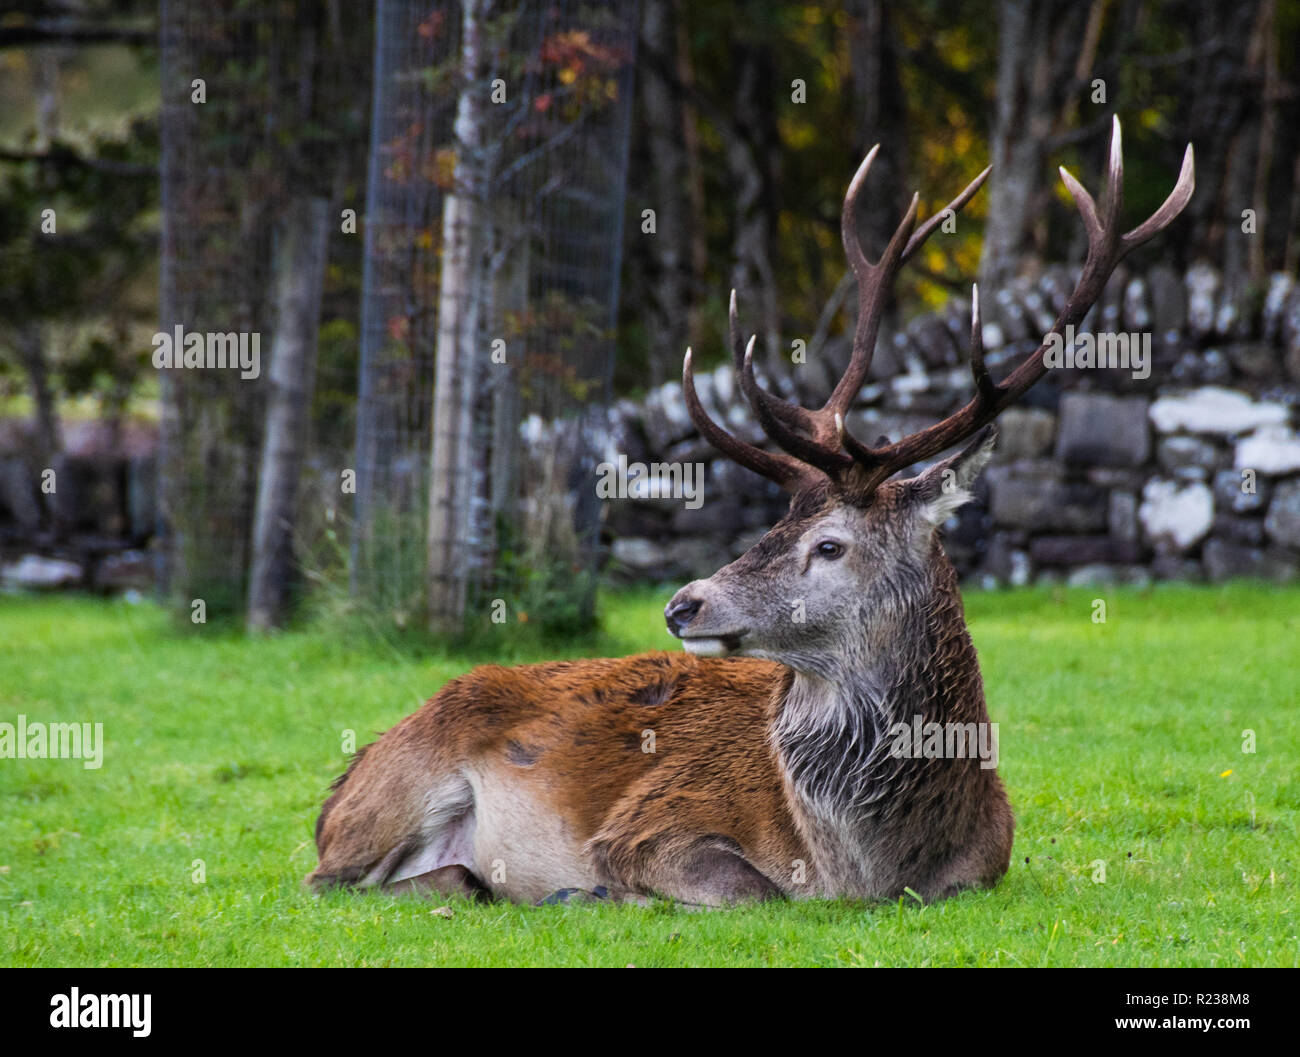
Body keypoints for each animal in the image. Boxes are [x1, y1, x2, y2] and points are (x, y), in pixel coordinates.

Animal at [309, 117, 1193, 906]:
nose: (682, 603)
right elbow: (752, 890)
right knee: (350, 880)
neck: (868, 869)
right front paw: (596, 892)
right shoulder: (647, 823)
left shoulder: (989, 866)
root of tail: (340, 782)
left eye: (829, 544)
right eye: (772, 525)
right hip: (396, 791)